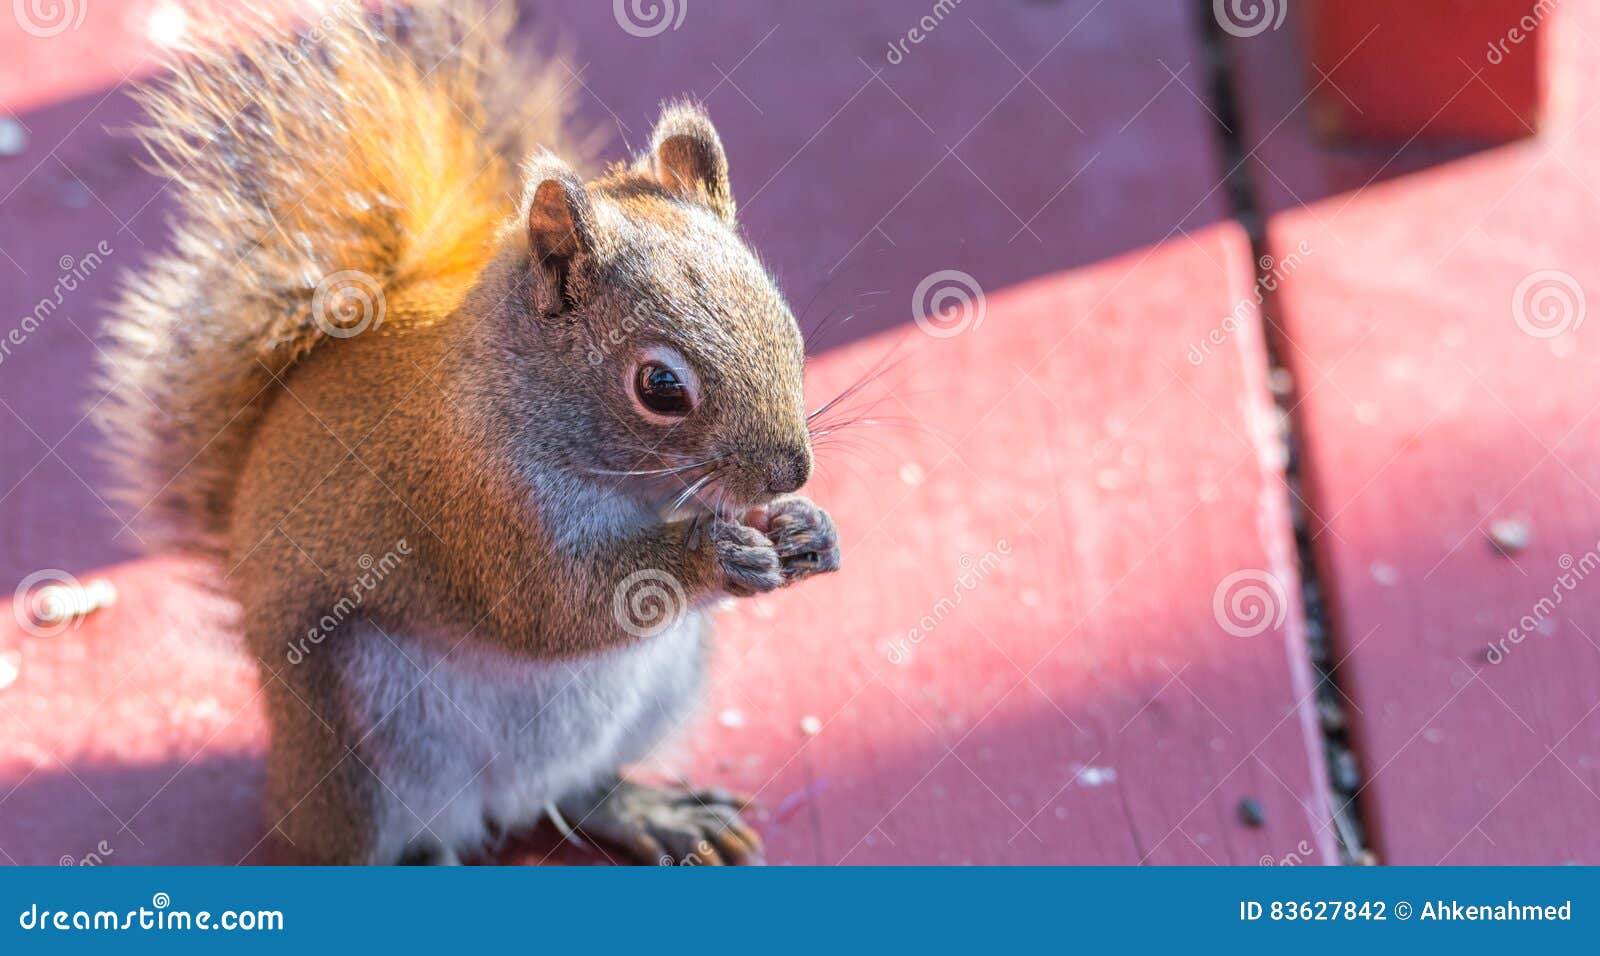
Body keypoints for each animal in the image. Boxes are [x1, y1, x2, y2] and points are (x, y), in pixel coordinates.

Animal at [94, 2, 840, 865]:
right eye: (660, 388)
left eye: (785, 320)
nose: (791, 473)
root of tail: (499, 806)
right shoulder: (469, 503)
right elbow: (558, 607)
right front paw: (715, 555)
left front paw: (808, 532)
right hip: (363, 742)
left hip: (663, 687)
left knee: (578, 792)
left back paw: (651, 812)